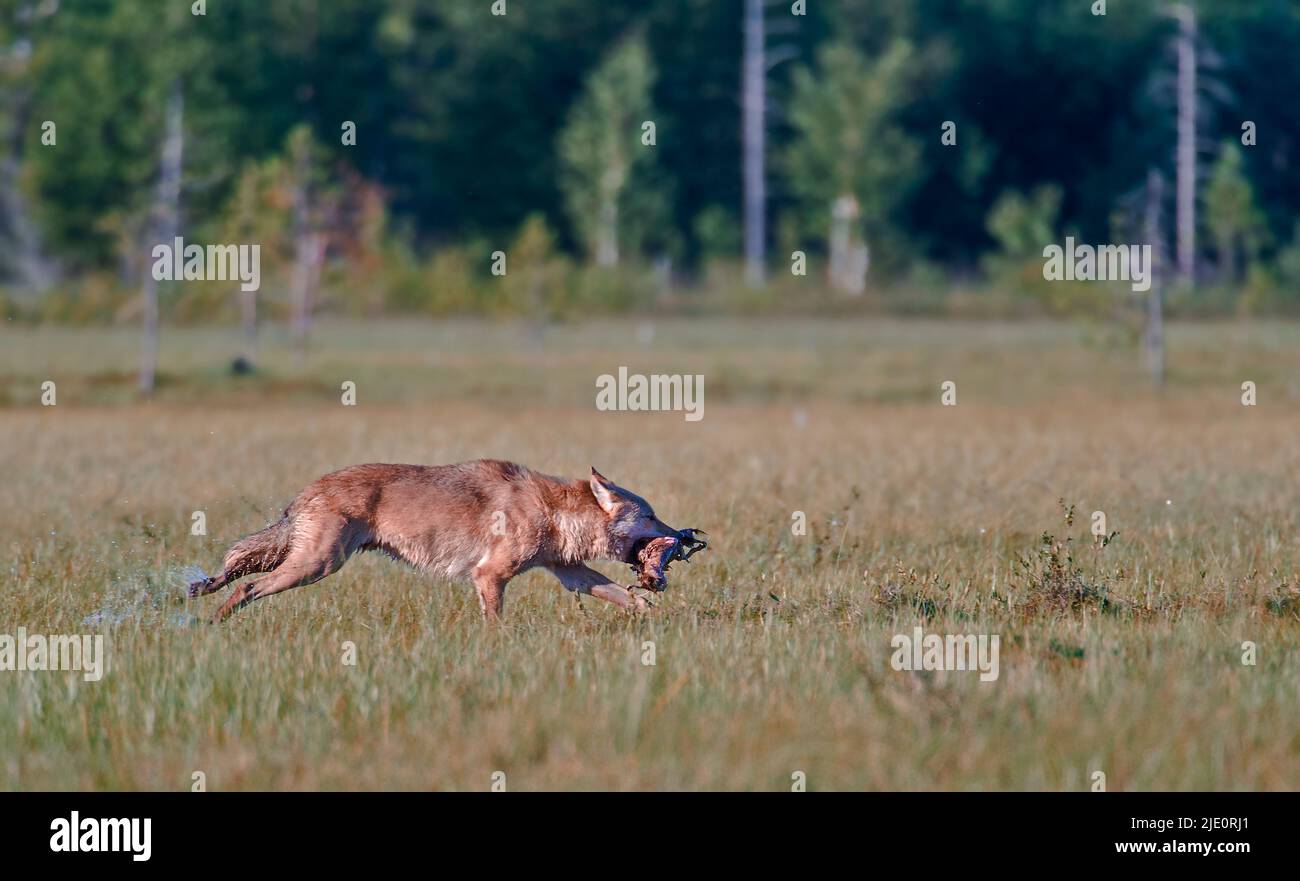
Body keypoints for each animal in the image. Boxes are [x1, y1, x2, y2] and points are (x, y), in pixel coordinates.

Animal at [188, 460, 688, 622]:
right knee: (247, 585)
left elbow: (629, 597)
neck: (556, 512)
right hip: (317, 564)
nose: (684, 535)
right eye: (651, 515)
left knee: (238, 573)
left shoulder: (572, 574)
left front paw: (664, 621)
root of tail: (305, 492)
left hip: (311, 561)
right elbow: (496, 626)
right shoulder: (490, 577)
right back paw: (212, 623)